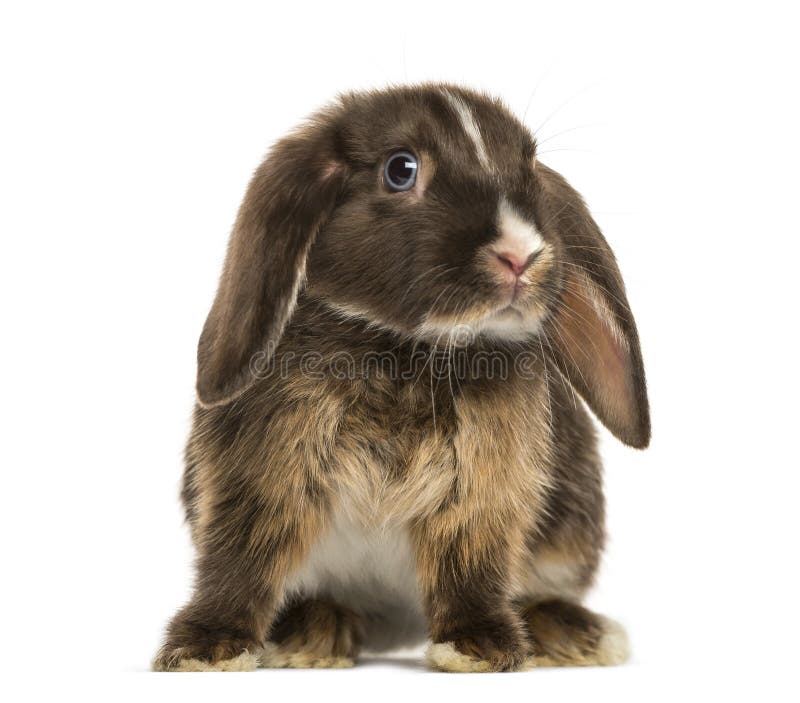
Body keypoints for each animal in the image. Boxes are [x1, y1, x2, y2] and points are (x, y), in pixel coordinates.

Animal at [153, 84, 650, 673]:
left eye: (528, 165)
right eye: (400, 169)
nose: (522, 255)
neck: (407, 350)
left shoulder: (484, 489)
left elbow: (471, 561)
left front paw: (477, 647)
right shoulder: (263, 472)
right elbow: (242, 556)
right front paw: (205, 649)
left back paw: (574, 633)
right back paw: (310, 633)